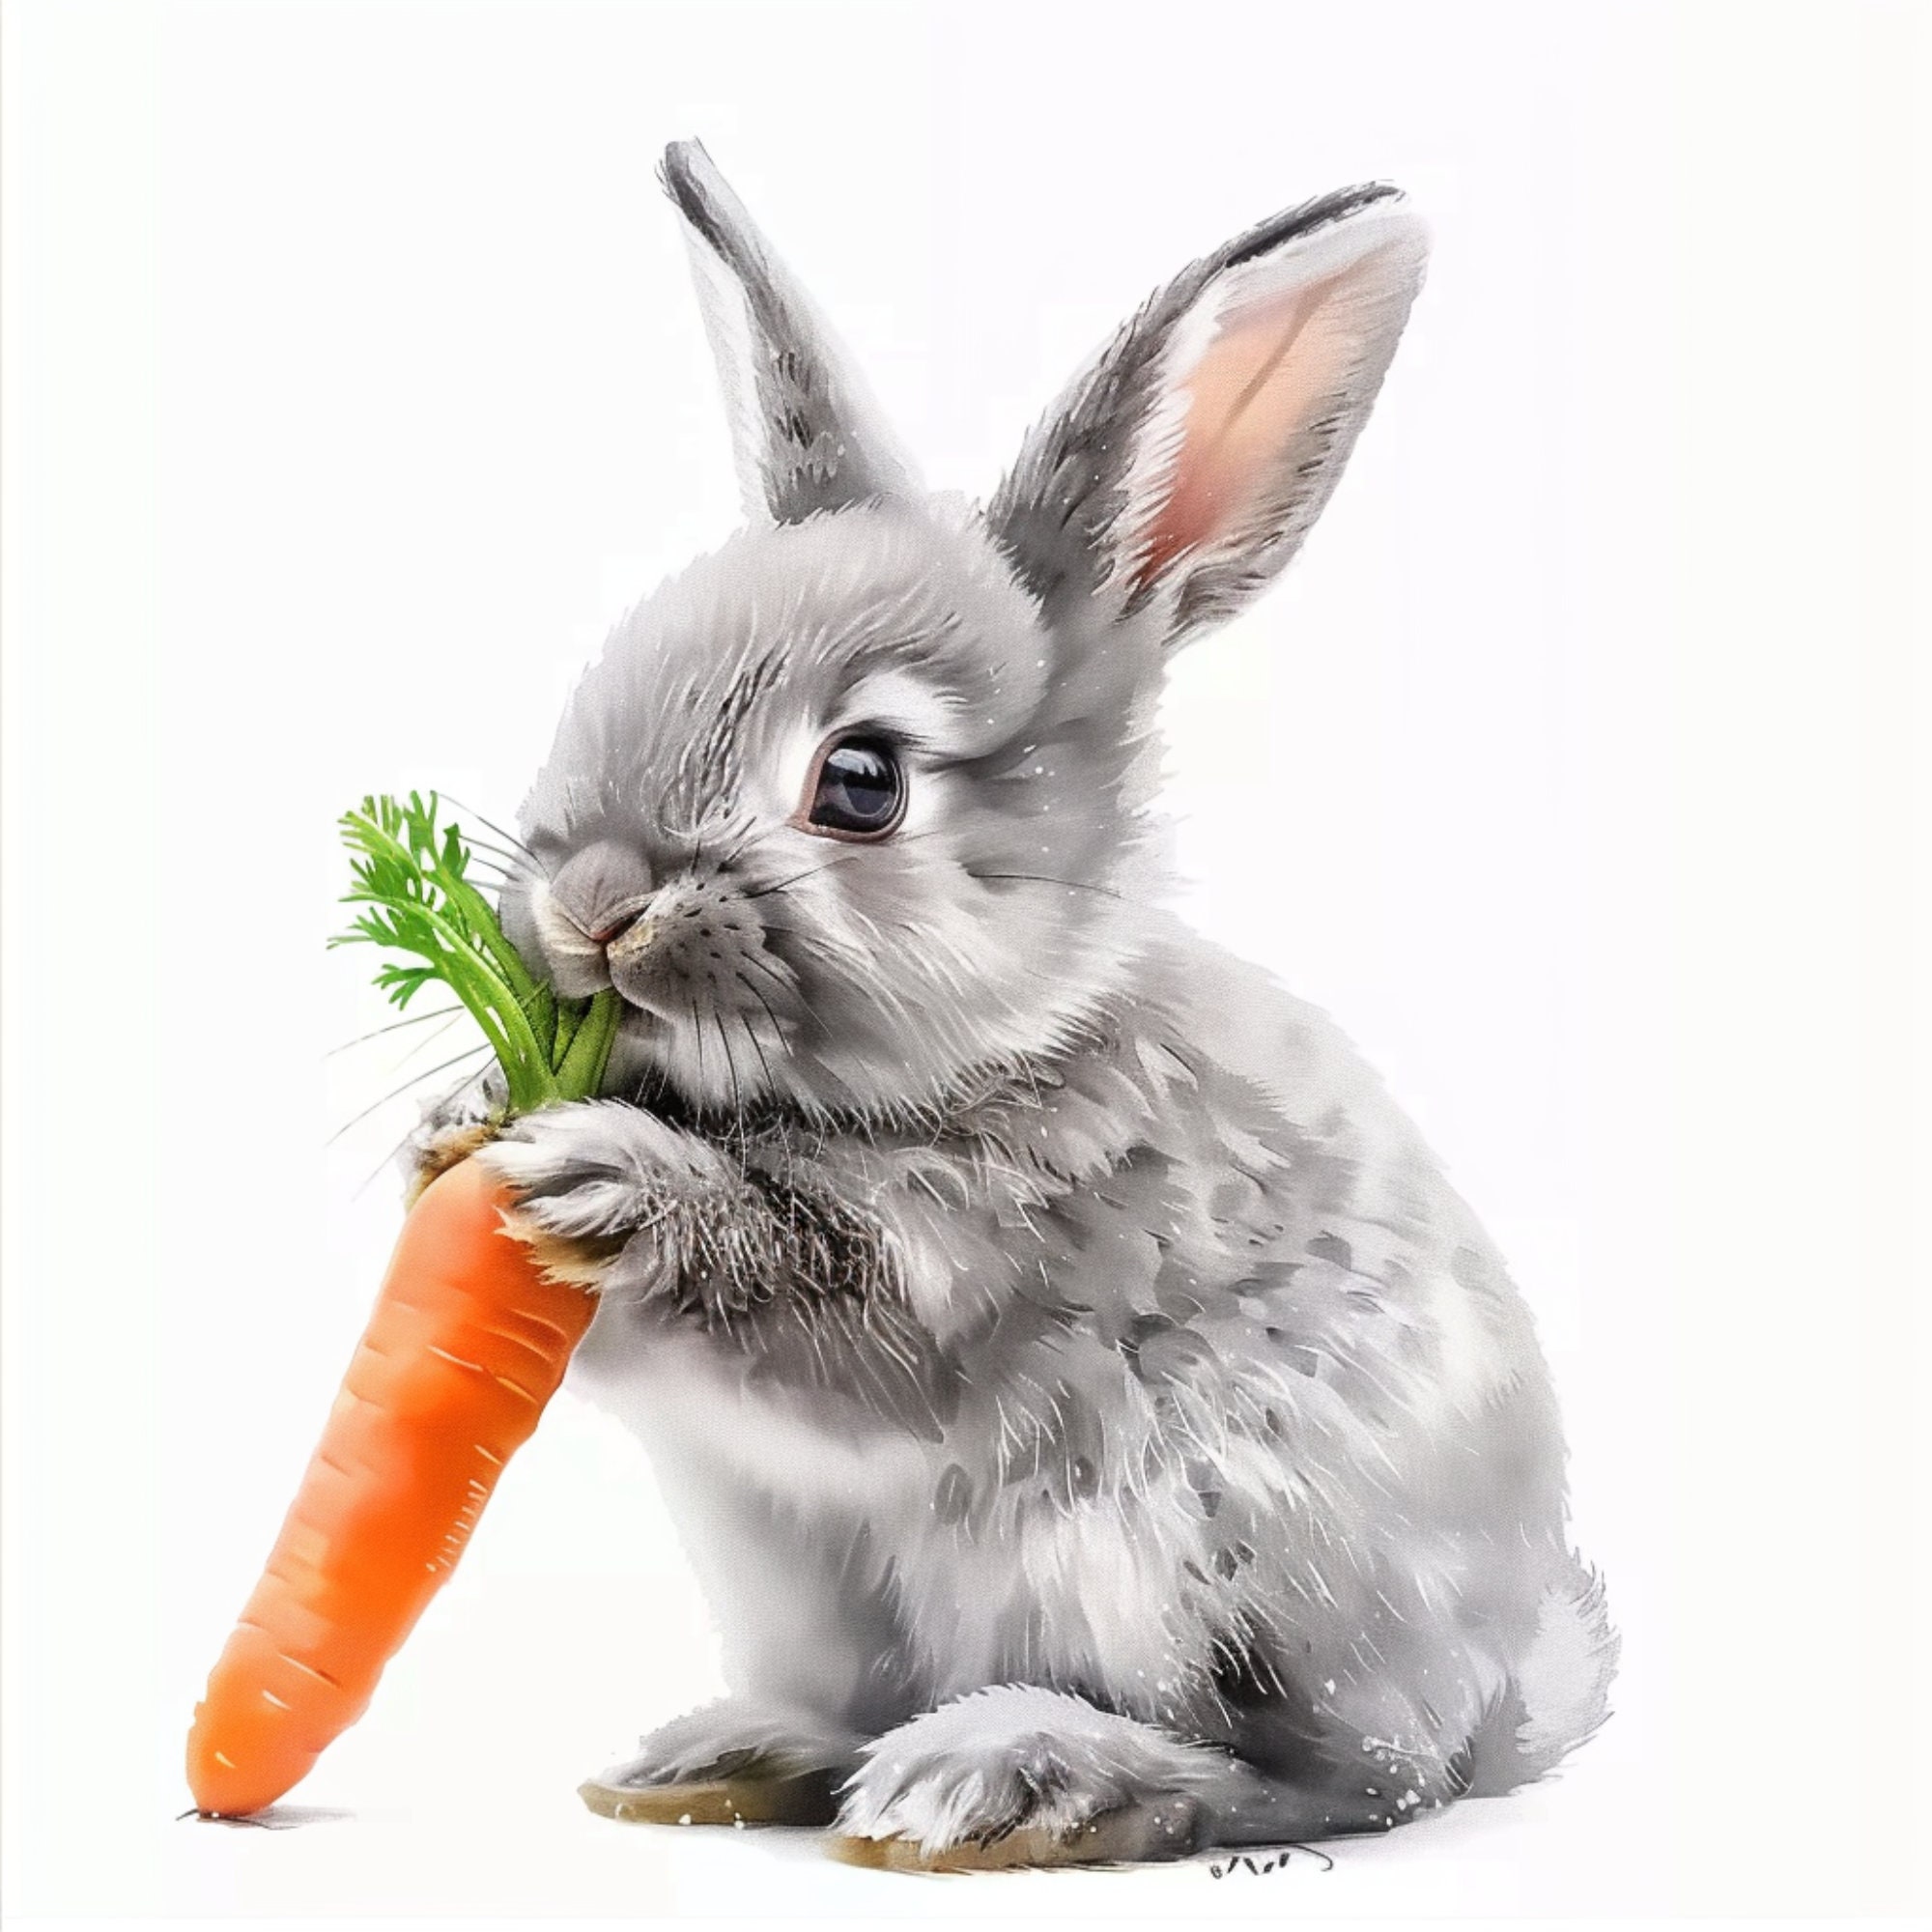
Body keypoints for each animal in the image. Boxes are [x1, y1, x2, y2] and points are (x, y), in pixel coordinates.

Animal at [411, 138, 1617, 1871]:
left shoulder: (971, 1261)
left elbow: (814, 1316)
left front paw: (594, 1180)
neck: (998, 1036)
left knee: (1341, 1777)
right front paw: (455, 1128)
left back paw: (1005, 1776)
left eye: (861, 782)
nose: (590, 907)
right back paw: (729, 1757)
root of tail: (1510, 1693)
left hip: (1222, 1558)